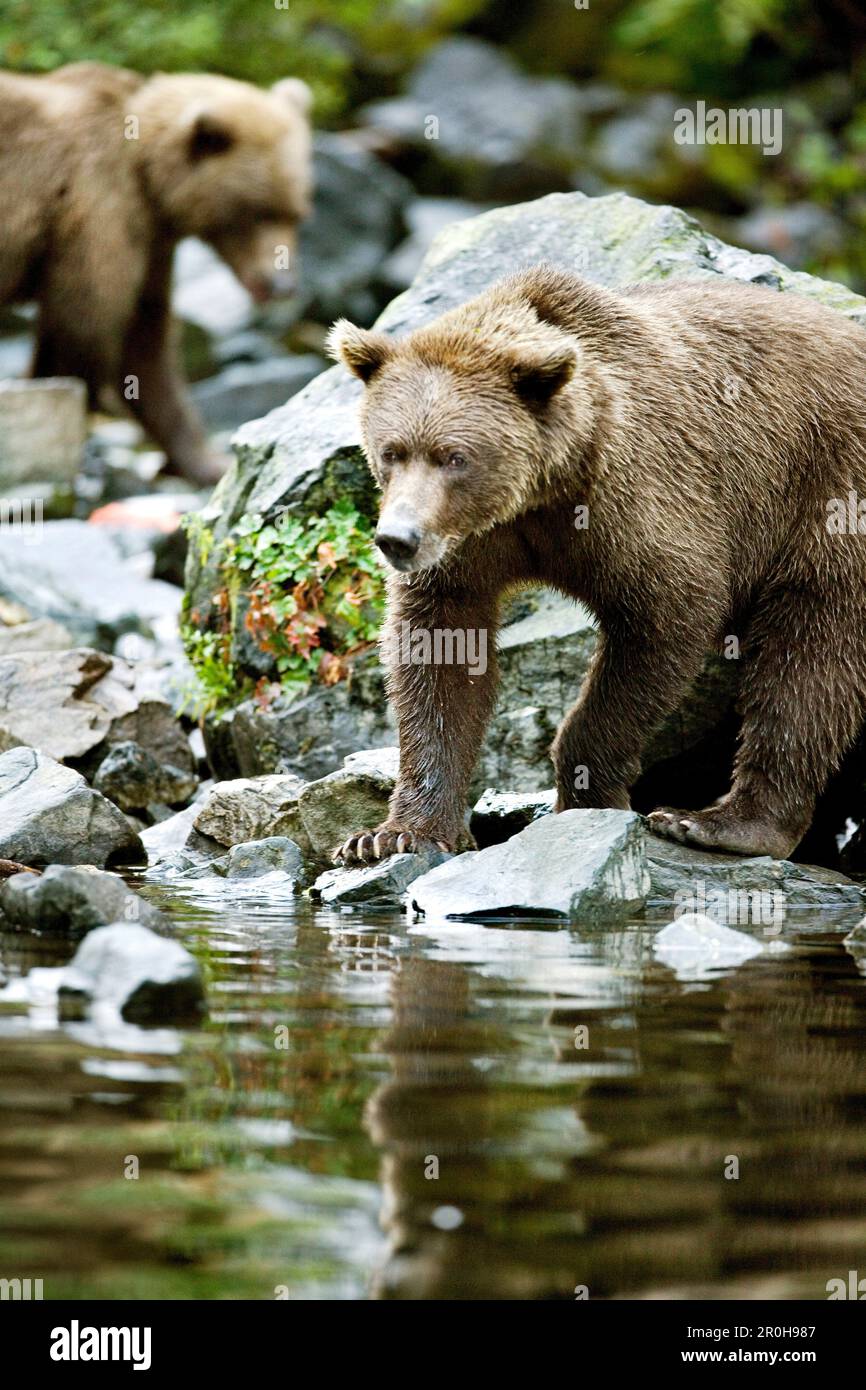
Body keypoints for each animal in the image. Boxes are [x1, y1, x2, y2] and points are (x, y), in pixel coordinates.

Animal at [0, 62, 312, 484]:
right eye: (258, 211)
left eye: (297, 212)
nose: (283, 283)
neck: (148, 178)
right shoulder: (97, 209)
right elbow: (85, 325)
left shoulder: (152, 245)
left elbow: (146, 341)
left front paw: (207, 461)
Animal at [326, 263, 866, 864]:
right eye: (391, 451)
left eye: (455, 457)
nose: (397, 539)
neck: (540, 493)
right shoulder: (467, 549)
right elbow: (440, 652)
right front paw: (393, 833)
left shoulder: (639, 500)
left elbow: (669, 614)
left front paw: (589, 793)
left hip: (829, 499)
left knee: (808, 656)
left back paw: (718, 821)